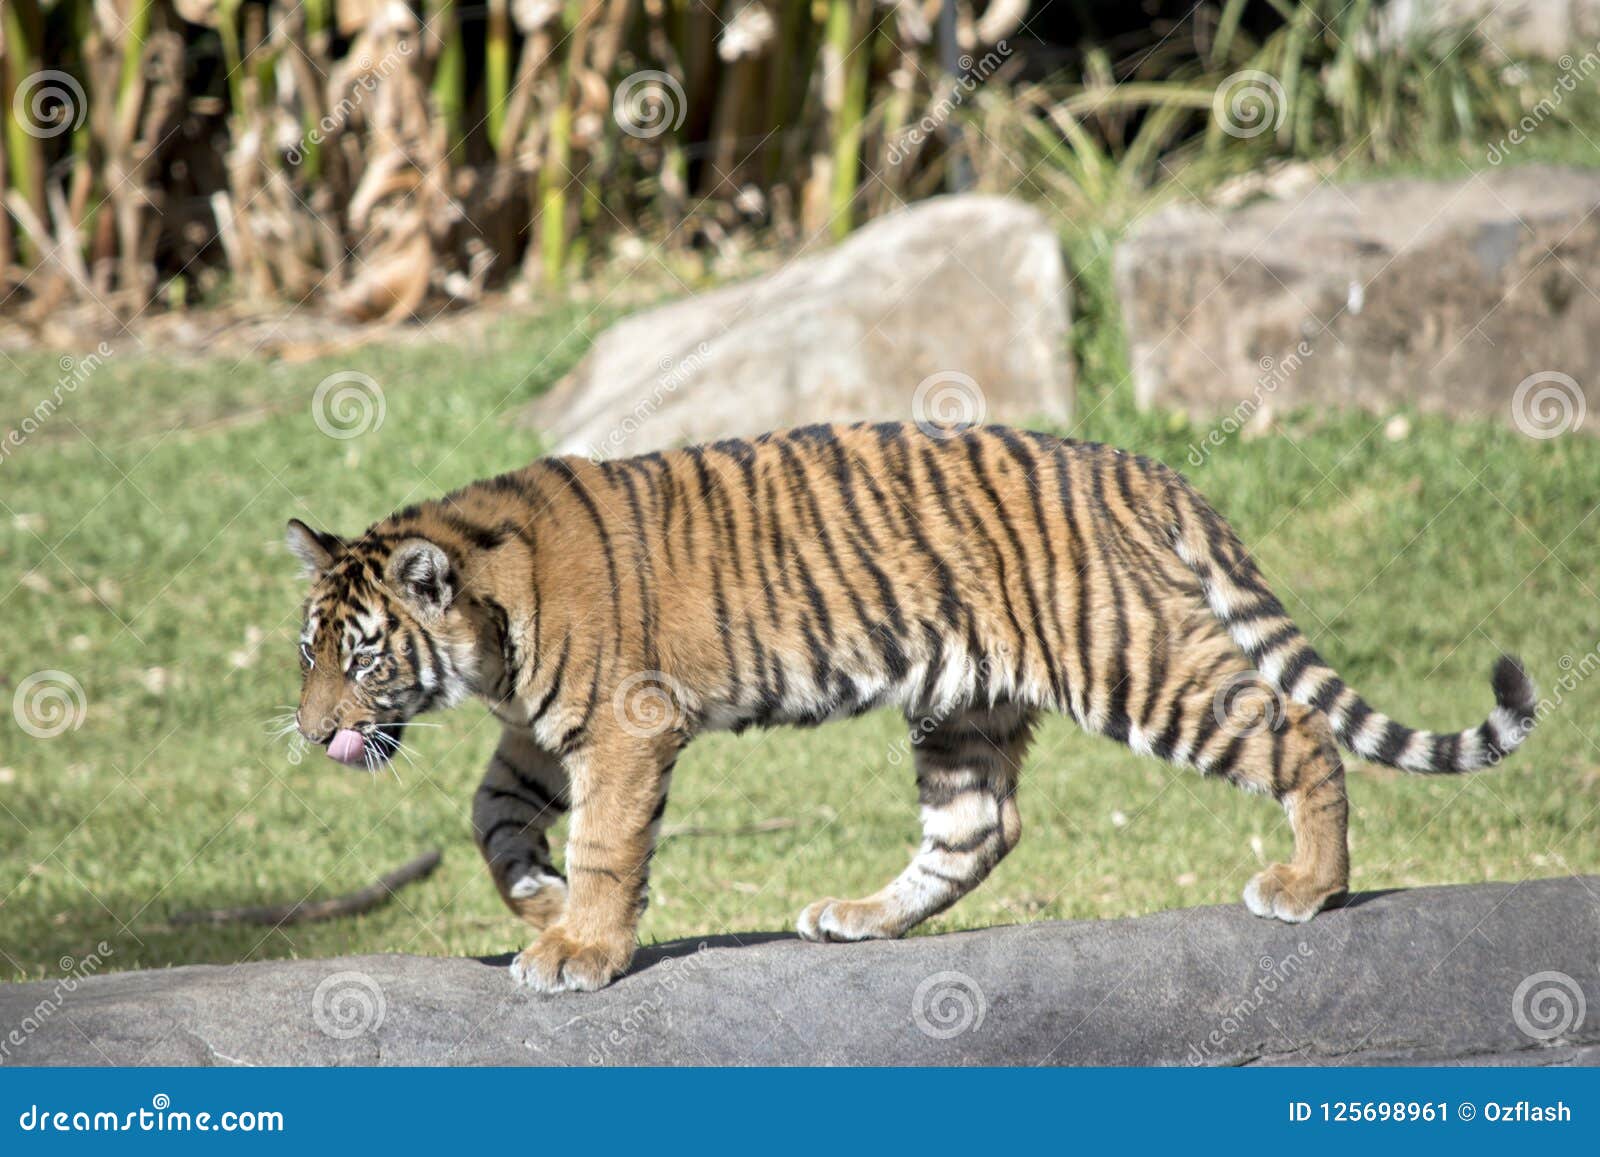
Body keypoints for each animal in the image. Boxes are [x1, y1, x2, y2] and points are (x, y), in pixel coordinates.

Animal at [286, 421, 1538, 993]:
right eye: (308, 649)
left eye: (359, 655)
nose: (308, 729)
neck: (488, 633)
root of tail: (1140, 465)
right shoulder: (545, 731)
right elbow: (492, 816)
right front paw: (538, 901)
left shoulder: (625, 726)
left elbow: (606, 844)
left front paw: (579, 944)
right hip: (967, 703)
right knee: (978, 827)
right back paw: (859, 918)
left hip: (1134, 662)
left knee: (1295, 728)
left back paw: (1309, 884)